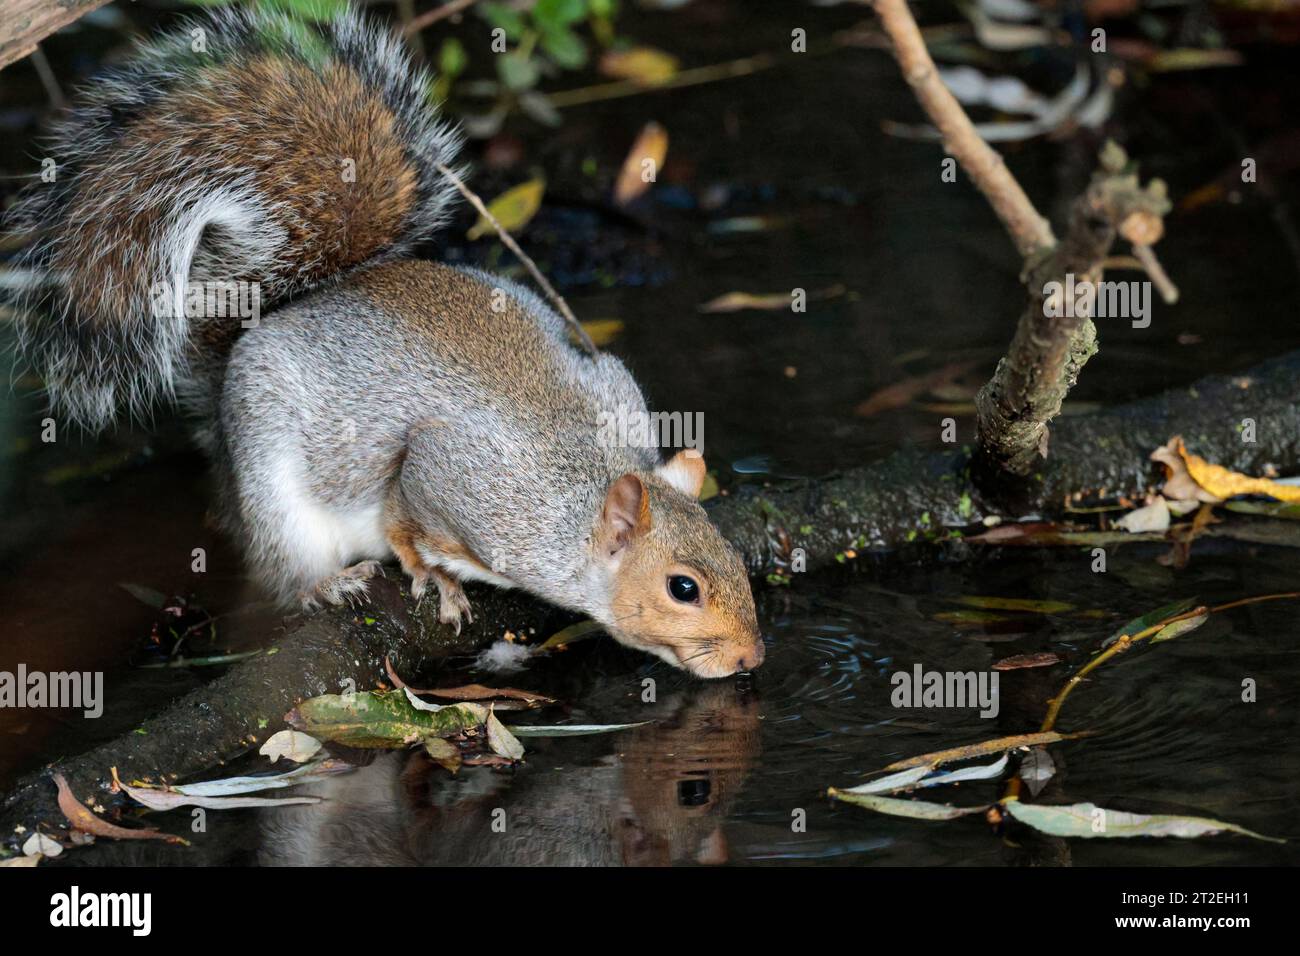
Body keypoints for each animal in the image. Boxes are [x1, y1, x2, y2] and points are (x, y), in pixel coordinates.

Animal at [5, 7, 764, 679]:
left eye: (733, 554)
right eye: (683, 587)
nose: (752, 658)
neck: (579, 491)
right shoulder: (454, 478)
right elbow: (402, 511)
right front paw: (432, 572)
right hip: (275, 492)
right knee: (282, 571)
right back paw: (323, 585)